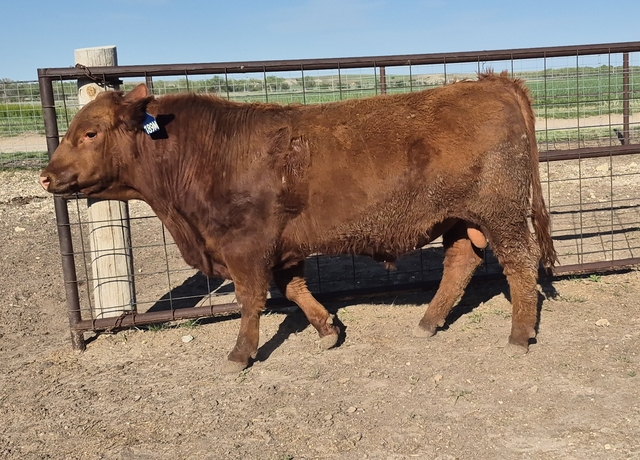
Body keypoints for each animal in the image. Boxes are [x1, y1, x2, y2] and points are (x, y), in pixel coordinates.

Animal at [40, 71, 557, 373]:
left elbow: (252, 299)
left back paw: (518, 336)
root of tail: (491, 82)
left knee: (520, 264)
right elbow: (292, 289)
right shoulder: (281, 247)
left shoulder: (245, 246)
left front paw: (240, 354)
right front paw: (328, 330)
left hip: (502, 213)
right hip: (458, 218)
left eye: (90, 132)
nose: (47, 175)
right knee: (461, 262)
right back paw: (429, 322)